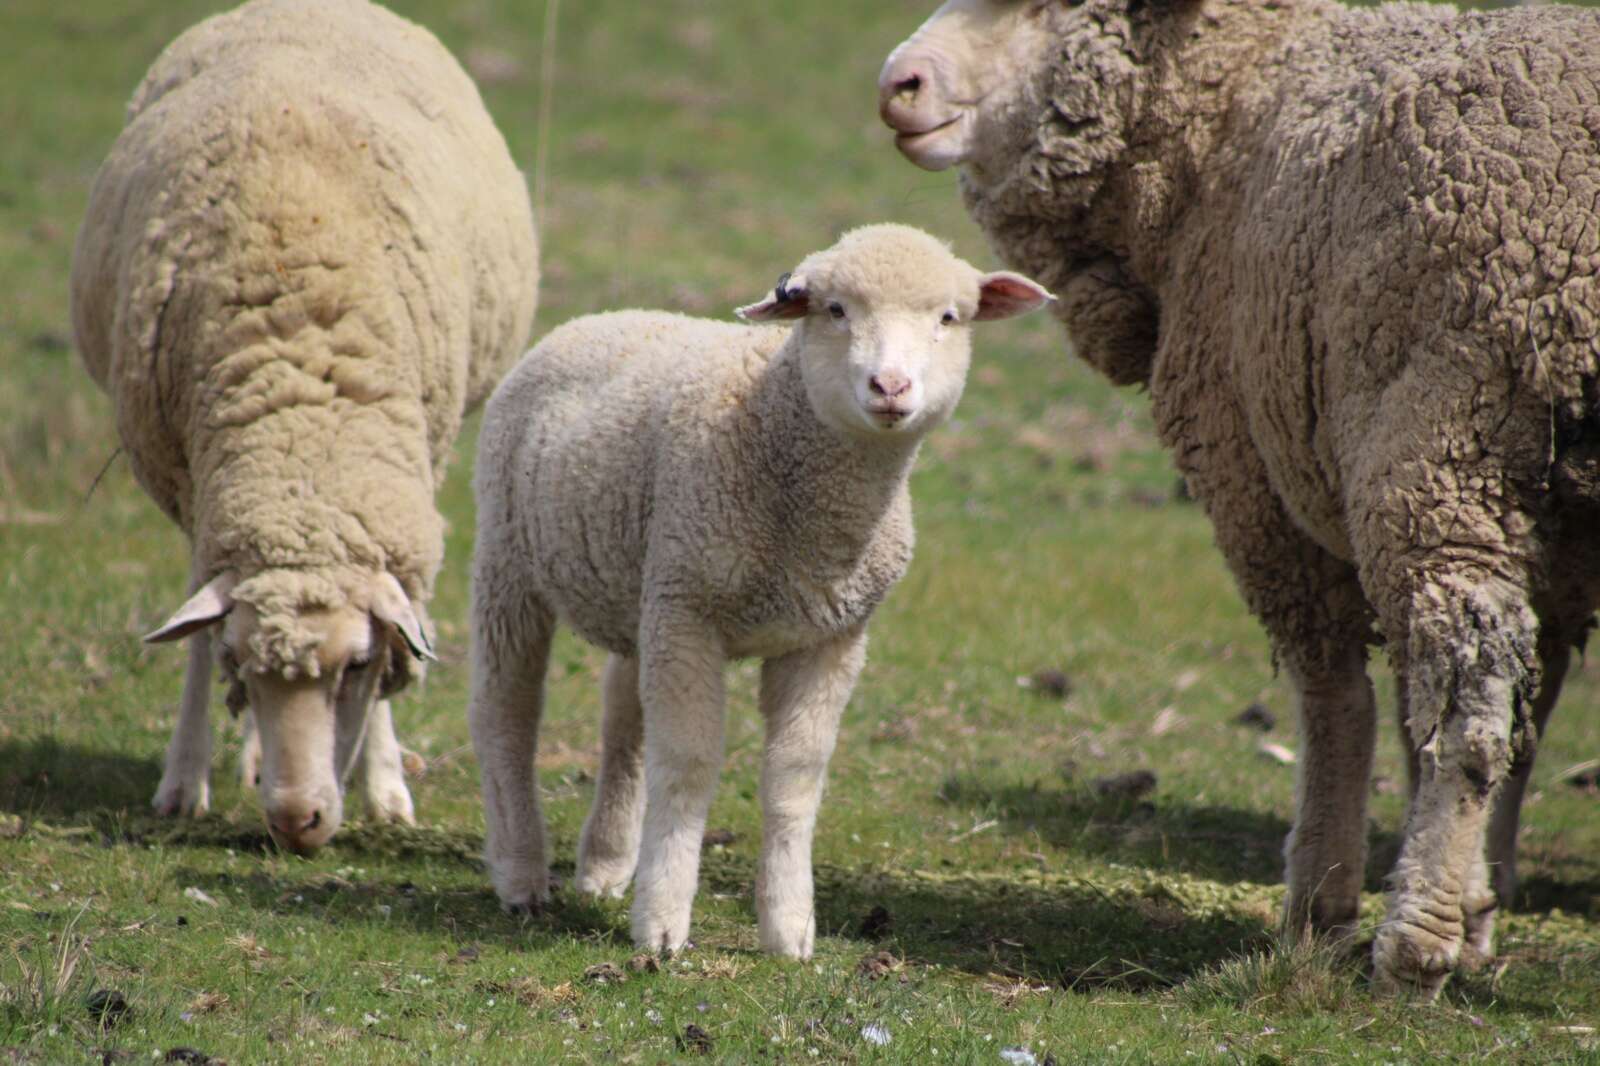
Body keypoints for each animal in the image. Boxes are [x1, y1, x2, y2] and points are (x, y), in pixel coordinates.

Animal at [70, 0, 539, 853]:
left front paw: (385, 786)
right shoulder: (199, 493)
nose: (297, 821)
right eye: (240, 659)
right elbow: (196, 636)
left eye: (355, 666)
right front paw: (185, 778)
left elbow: (399, 629)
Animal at [469, 224, 1050, 956]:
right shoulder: (690, 610)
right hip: (510, 558)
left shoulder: (829, 636)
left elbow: (794, 779)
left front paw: (788, 927)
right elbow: (688, 764)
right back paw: (520, 873)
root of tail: (598, 318)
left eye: (949, 318)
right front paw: (662, 924)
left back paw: (605, 862)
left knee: (622, 721)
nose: (890, 385)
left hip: (641, 589)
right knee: (506, 713)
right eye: (834, 310)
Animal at [878, 0, 1600, 993]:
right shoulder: (1545, 544)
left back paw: (1413, 945)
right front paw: (1481, 909)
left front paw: (1321, 912)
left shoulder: (1252, 472)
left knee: (1469, 696)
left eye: (1034, 9)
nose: (895, 85)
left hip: (1443, 431)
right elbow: (1503, 709)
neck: (1222, 118)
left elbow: (1334, 693)